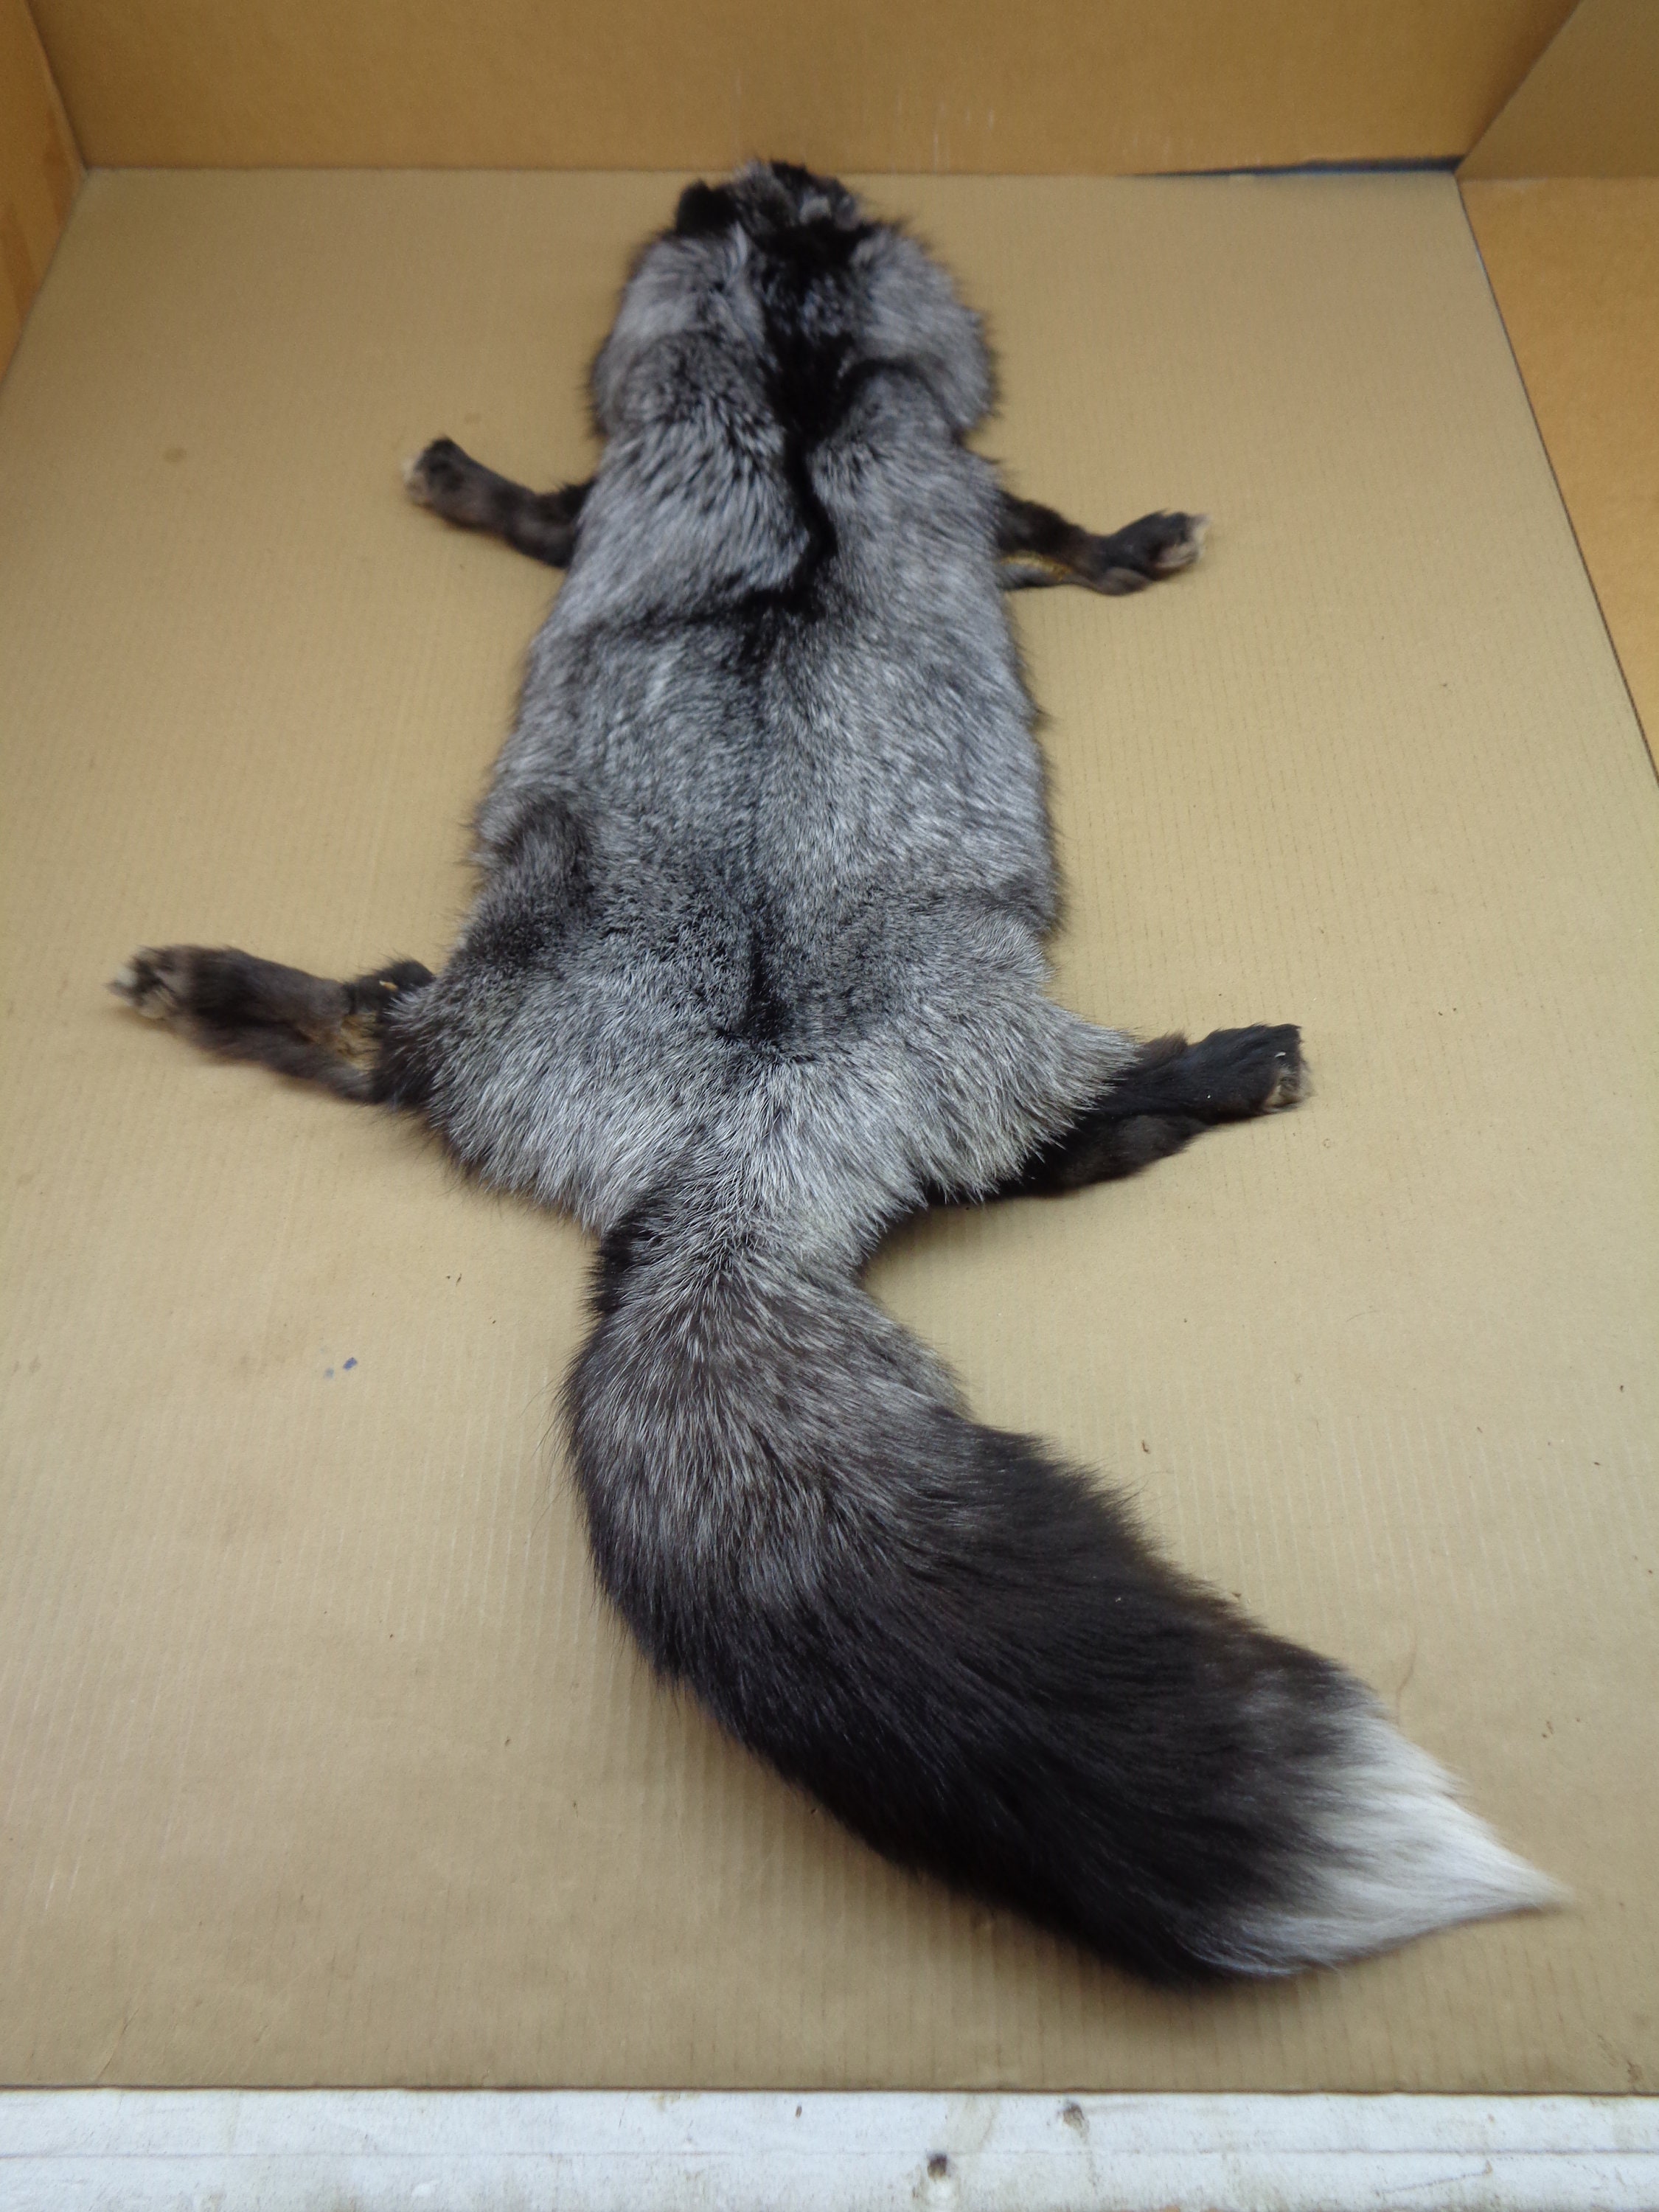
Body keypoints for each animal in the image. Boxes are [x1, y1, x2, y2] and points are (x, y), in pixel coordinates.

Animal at [114, 161, 1557, 1981]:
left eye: (797, 203)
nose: (758, 170)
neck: (794, 396)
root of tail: (734, 1145)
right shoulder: (919, 485)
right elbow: (1039, 530)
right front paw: (1130, 550)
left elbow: (580, 516)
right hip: (980, 1051)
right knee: (1072, 1142)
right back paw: (1228, 1068)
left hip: (490, 1005)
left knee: (379, 1033)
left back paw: (206, 987)